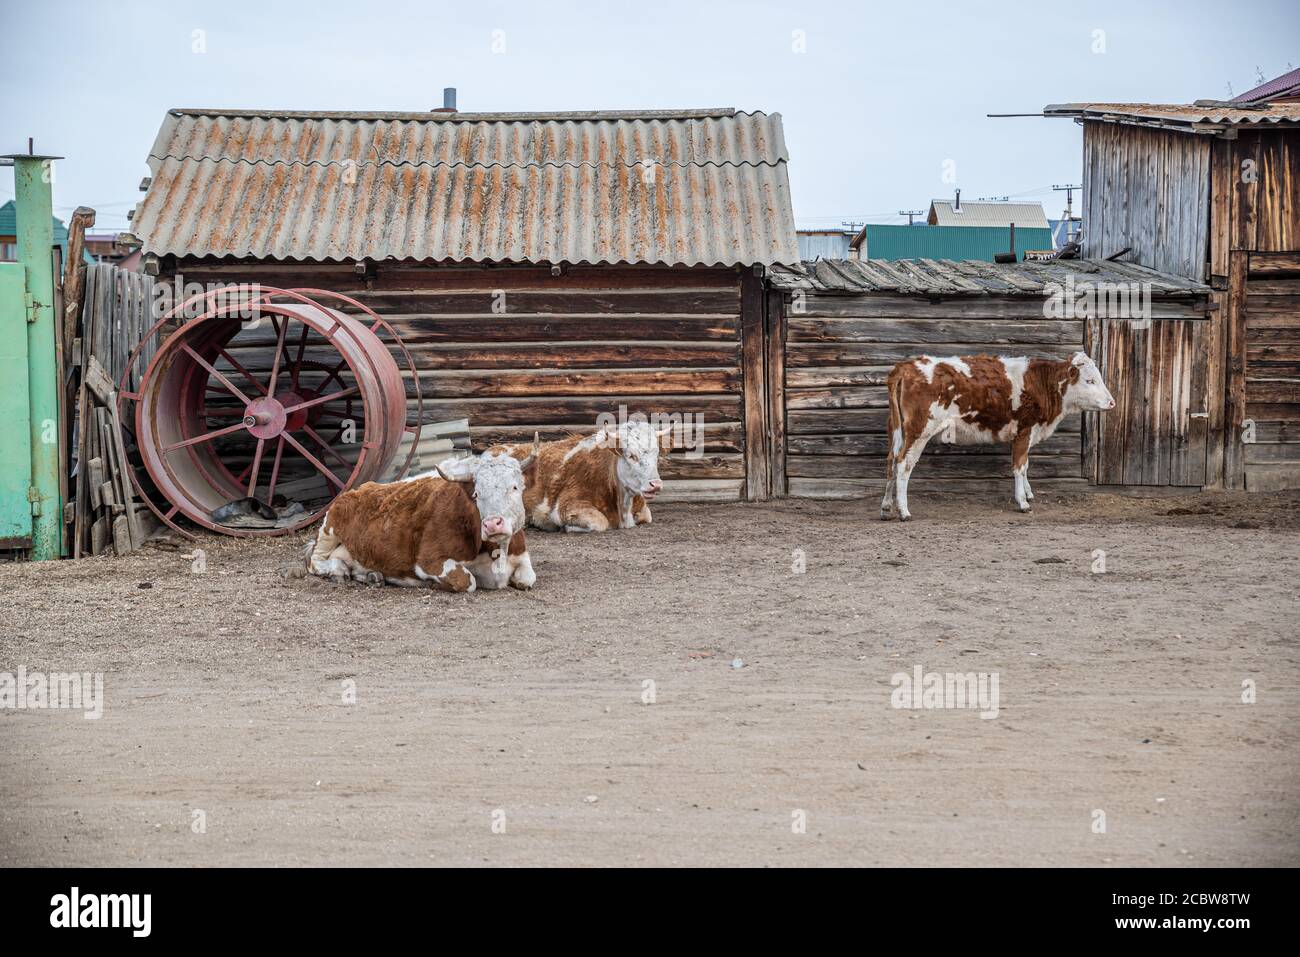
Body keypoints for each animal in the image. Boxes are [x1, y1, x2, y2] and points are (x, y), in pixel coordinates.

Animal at [304, 441, 539, 592]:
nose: (492, 524)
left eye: (515, 487)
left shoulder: (522, 556)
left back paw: (371, 575)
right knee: (314, 561)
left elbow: (528, 578)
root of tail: (361, 487)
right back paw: (337, 571)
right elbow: (467, 581)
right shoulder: (429, 560)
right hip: (329, 528)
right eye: (476, 494)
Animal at [493, 421, 671, 532]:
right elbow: (600, 522)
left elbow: (646, 516)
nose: (655, 484)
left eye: (656, 454)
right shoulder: (566, 506)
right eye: (631, 456)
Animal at [880, 351, 1115, 520]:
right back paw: (904, 511)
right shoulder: (1025, 430)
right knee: (903, 464)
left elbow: (1026, 464)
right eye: (1090, 380)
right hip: (919, 429)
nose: (1112, 402)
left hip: (897, 429)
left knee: (891, 461)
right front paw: (1023, 502)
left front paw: (1028, 493)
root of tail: (905, 367)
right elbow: (1019, 466)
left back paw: (886, 507)